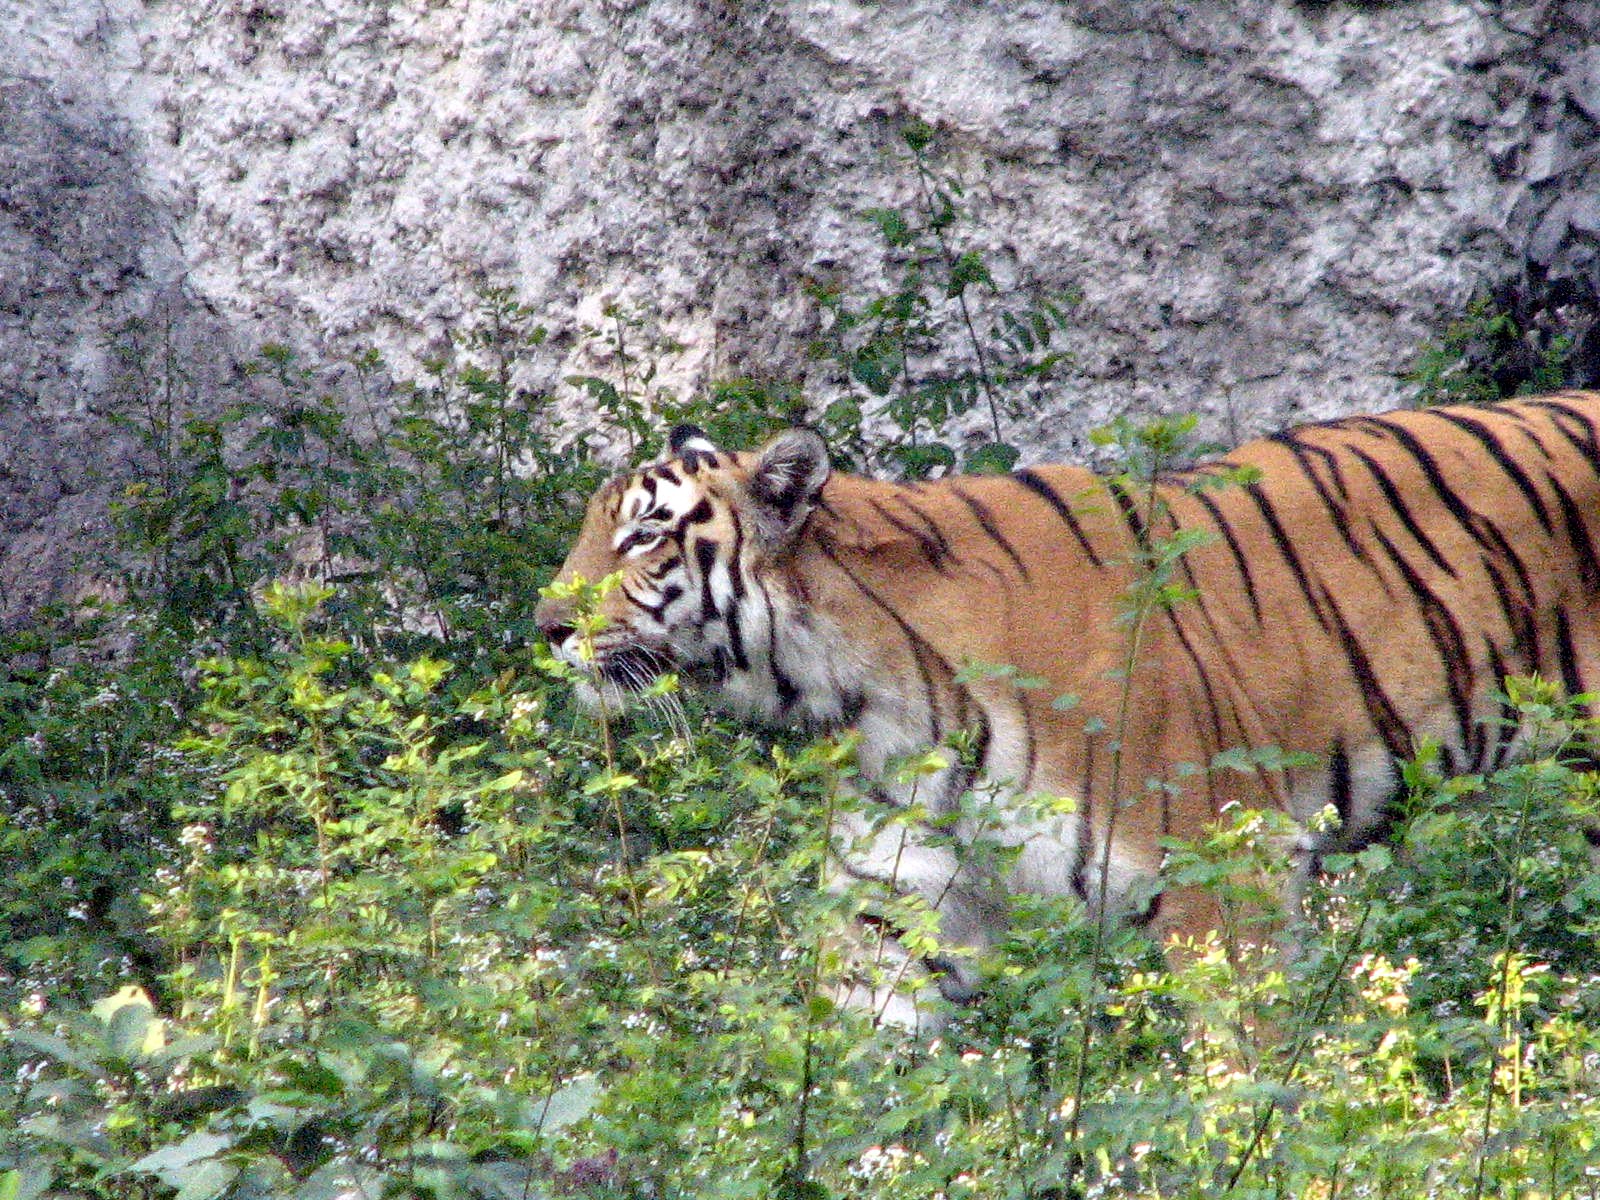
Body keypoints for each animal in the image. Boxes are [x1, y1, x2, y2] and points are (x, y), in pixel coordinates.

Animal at [534, 391, 1600, 1030]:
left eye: (643, 537)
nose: (543, 626)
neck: (864, 698)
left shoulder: (1230, 878)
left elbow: (1241, 1076)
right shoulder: (896, 905)